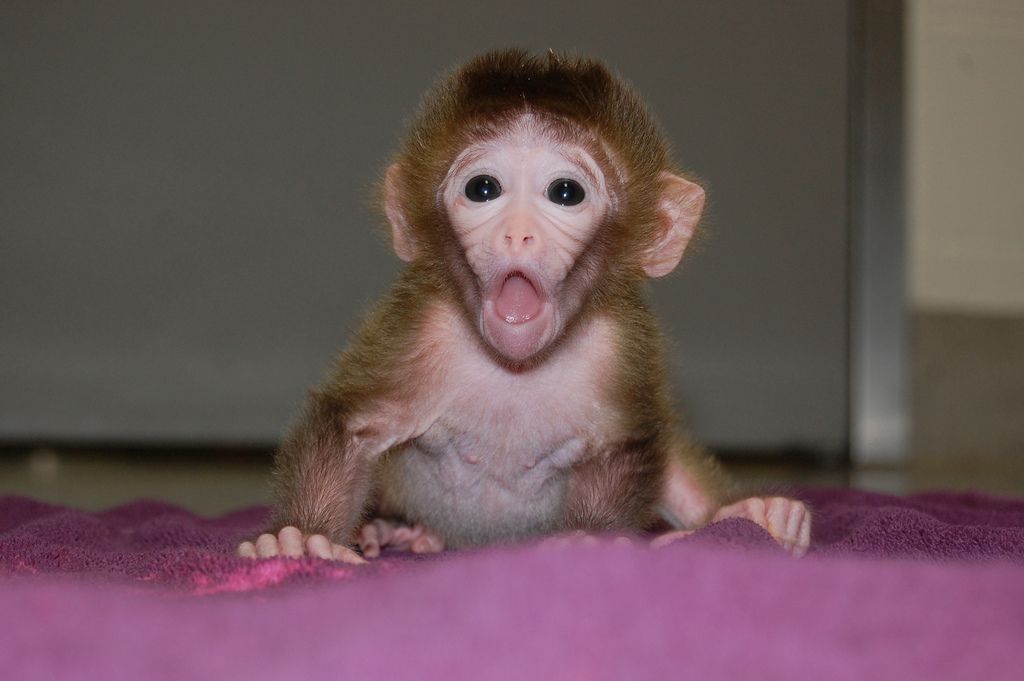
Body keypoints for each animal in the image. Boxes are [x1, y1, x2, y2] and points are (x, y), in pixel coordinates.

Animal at [237, 49, 811, 564]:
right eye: (483, 188)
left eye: (565, 192)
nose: (517, 233)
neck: (516, 367)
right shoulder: (420, 323)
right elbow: (353, 429)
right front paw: (300, 538)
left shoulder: (620, 344)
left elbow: (626, 444)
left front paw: (590, 537)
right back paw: (390, 531)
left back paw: (756, 515)